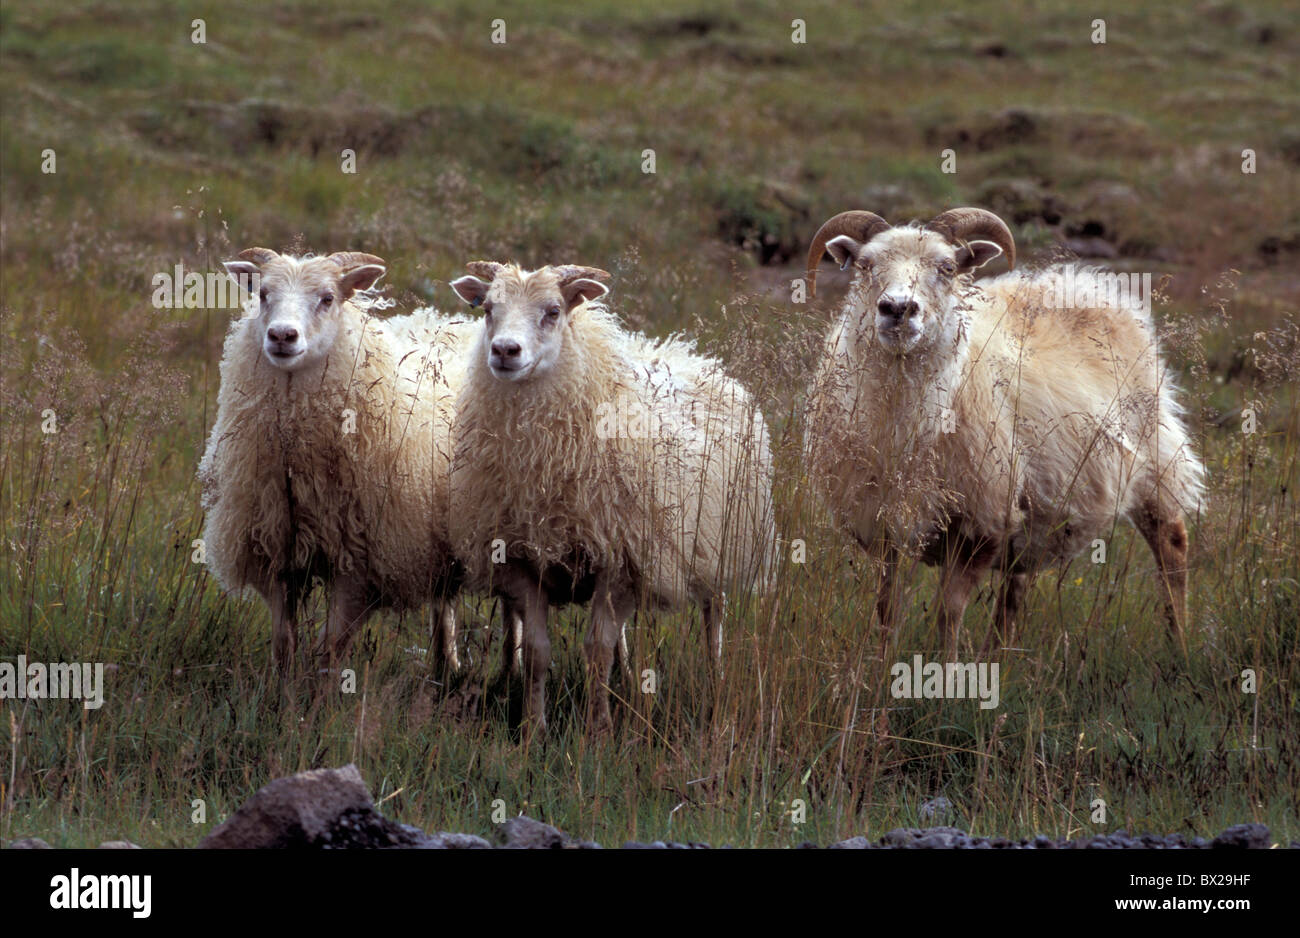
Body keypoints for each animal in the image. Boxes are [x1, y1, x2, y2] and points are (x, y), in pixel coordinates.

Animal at [198, 248, 474, 673]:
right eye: (262, 294)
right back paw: (445, 666)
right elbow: (284, 643)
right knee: (444, 602)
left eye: (328, 298)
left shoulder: (360, 568)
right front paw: (281, 687)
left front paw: (318, 692)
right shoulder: (278, 554)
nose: (281, 336)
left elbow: (328, 651)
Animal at [448, 262, 776, 732]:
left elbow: (596, 651)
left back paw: (716, 680)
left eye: (553, 311)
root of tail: (686, 354)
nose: (505, 350)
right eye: (488, 308)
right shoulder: (526, 562)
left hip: (720, 538)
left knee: (714, 613)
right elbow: (537, 654)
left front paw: (598, 729)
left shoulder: (618, 563)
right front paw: (533, 728)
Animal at [802, 208, 1204, 649]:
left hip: (1156, 459)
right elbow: (887, 611)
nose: (897, 309)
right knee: (1015, 587)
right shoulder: (883, 526)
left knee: (1172, 548)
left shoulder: (981, 525)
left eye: (947, 268)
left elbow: (948, 614)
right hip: (1038, 508)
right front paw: (880, 660)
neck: (904, 420)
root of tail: (1086, 283)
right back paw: (998, 652)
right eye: (865, 265)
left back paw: (1179, 643)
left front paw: (945, 664)